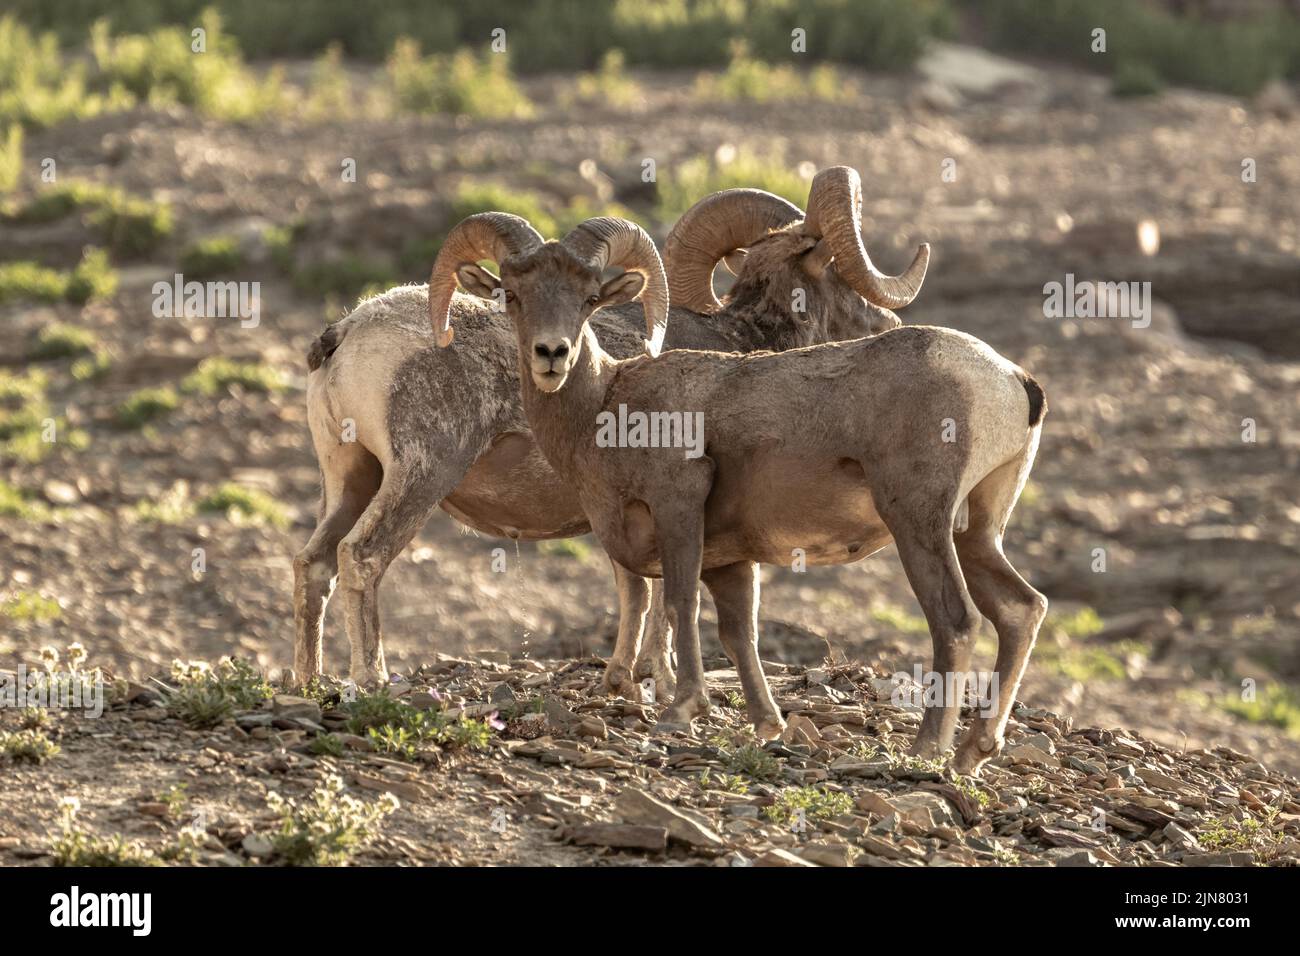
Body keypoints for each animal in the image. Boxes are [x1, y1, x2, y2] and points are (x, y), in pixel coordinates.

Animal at [294, 182, 909, 692]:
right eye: (844, 271)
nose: (889, 326)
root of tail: (348, 332)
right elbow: (666, 596)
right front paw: (663, 682)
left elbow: (636, 591)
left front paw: (624, 679)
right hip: (420, 474)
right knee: (361, 557)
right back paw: (372, 679)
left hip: (351, 478)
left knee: (314, 564)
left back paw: (310, 681)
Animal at [429, 166, 1048, 774]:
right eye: (512, 295)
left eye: (588, 299)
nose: (551, 355)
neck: (604, 407)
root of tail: (1009, 379)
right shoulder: (731, 559)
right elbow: (738, 632)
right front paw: (767, 725)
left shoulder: (679, 508)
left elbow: (679, 603)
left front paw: (680, 711)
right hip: (976, 530)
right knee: (1021, 610)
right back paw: (974, 750)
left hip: (919, 522)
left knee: (956, 621)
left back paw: (928, 749)